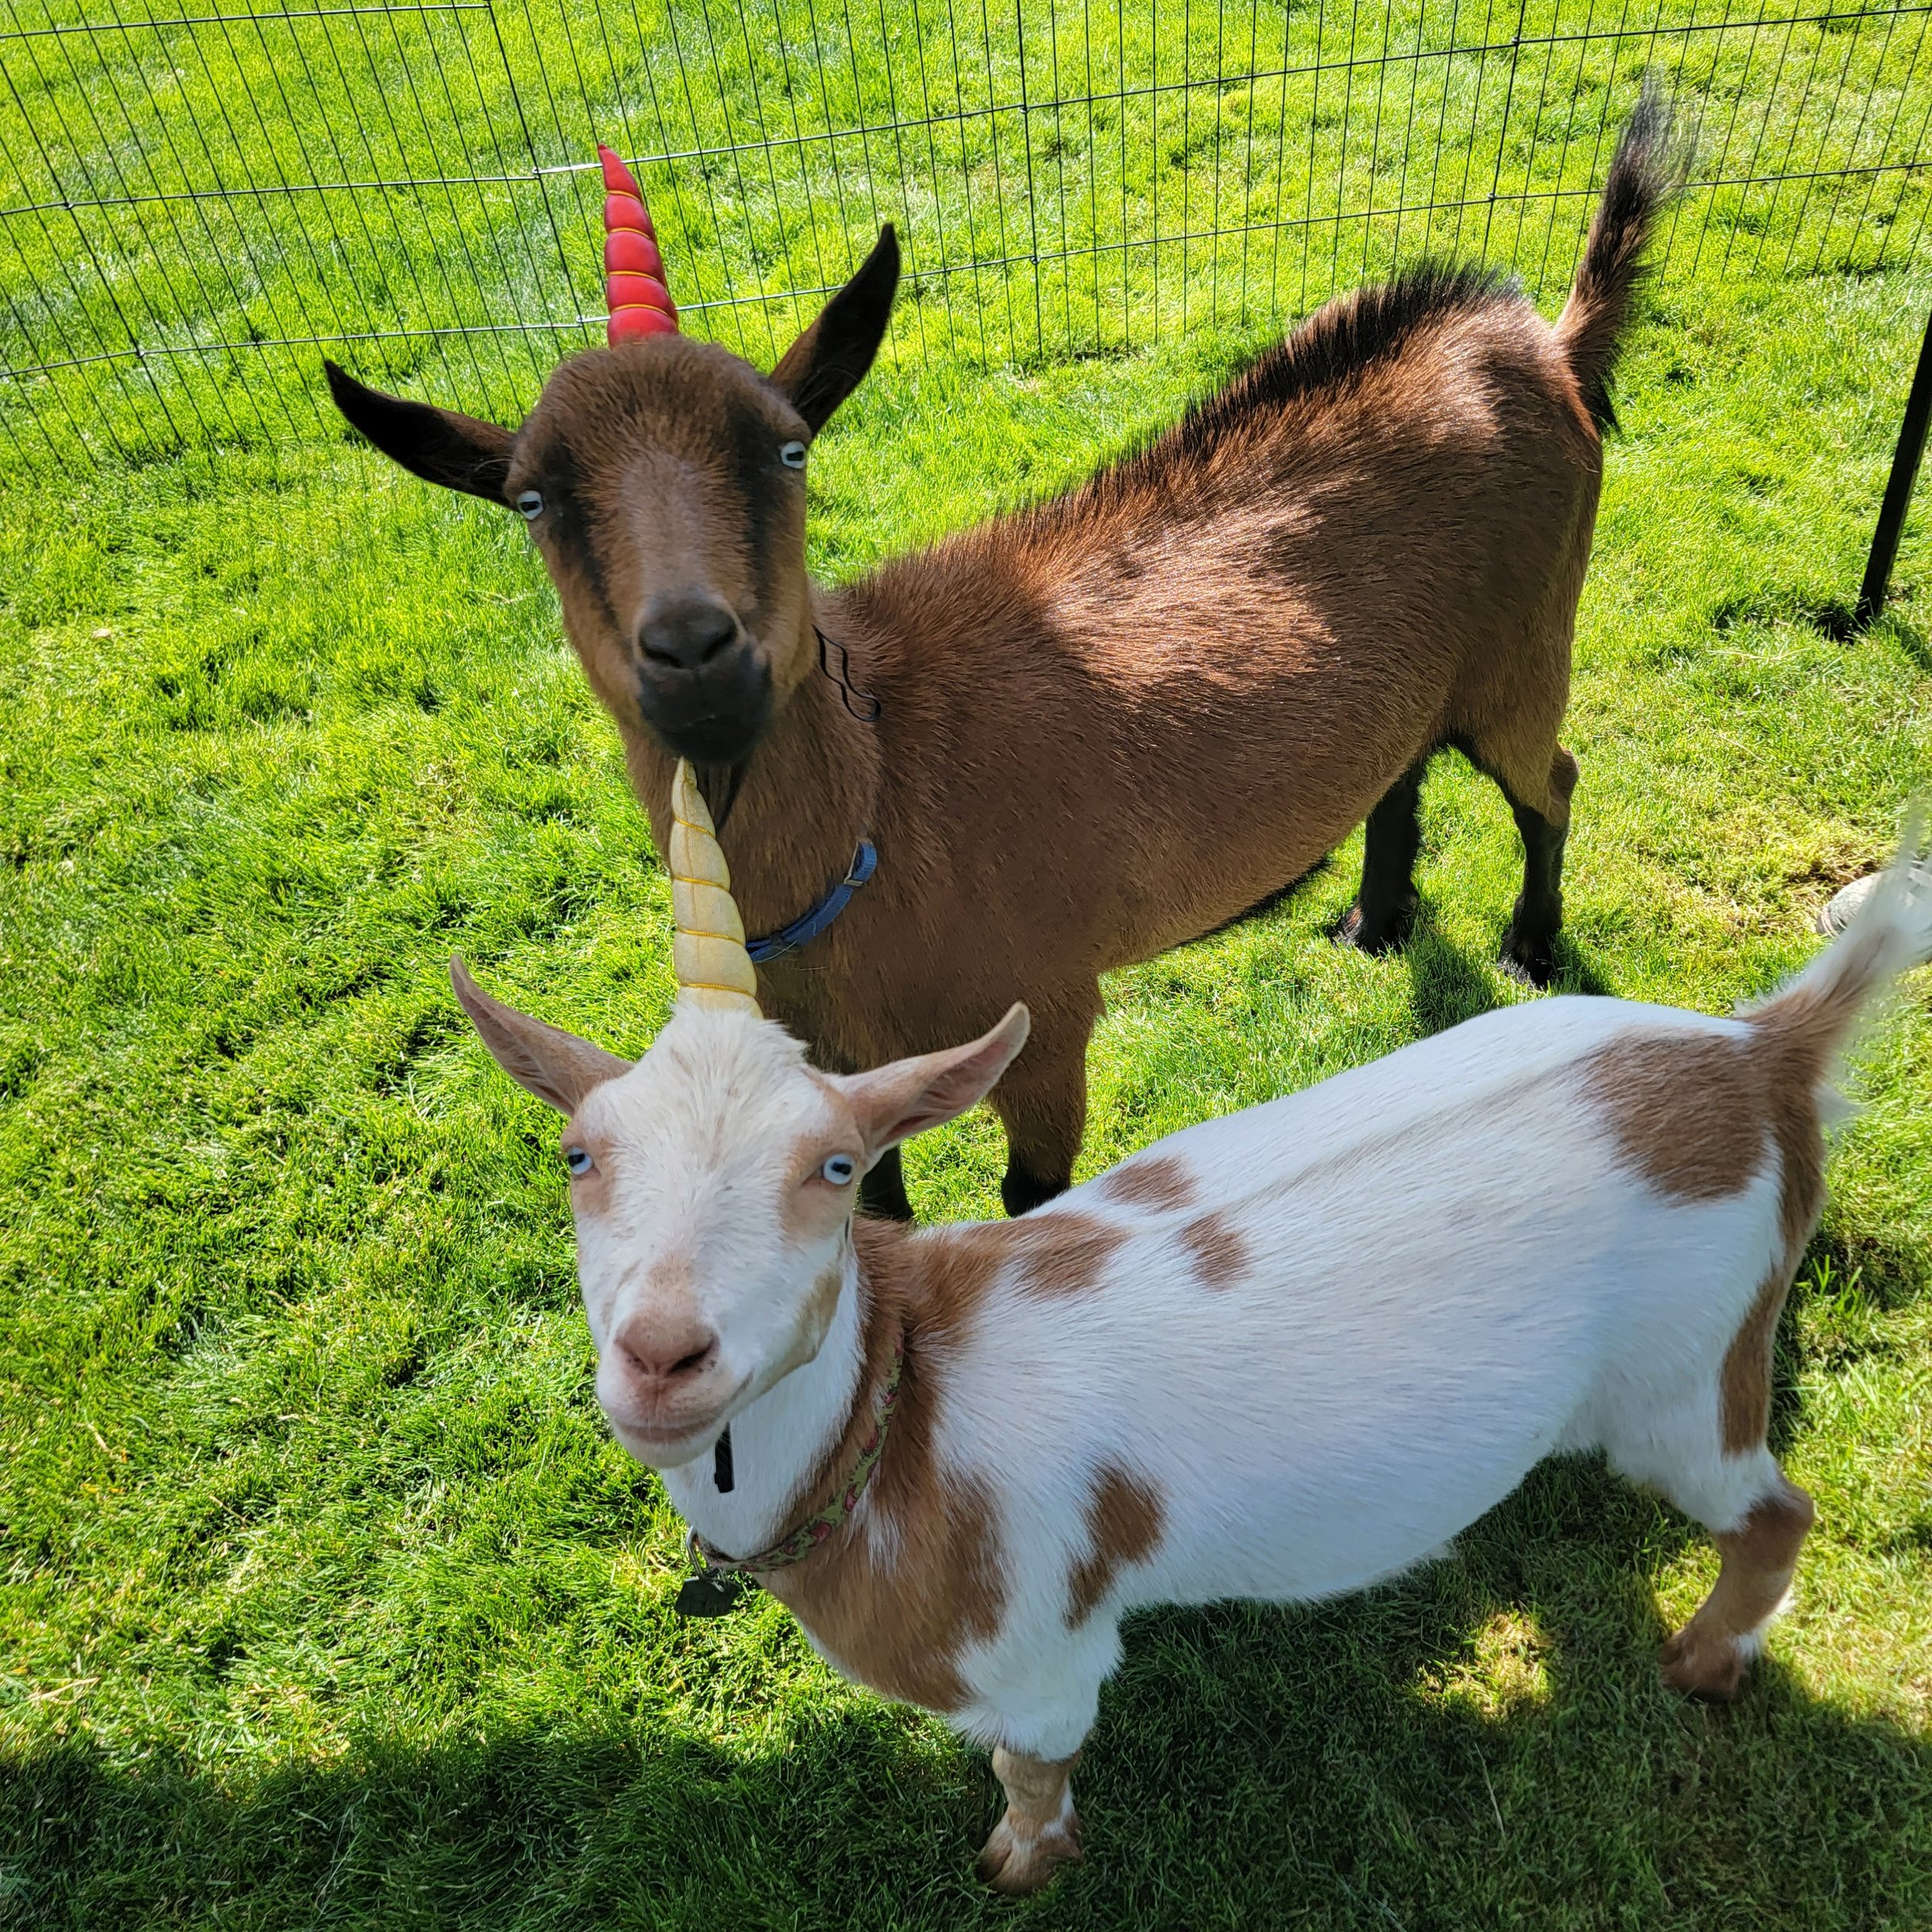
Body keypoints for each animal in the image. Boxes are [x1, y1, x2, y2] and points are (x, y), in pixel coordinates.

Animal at [333, 92, 1676, 1222]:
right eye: (530, 498)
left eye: (787, 448)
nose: (697, 653)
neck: (877, 804)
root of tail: (1545, 344)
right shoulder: (831, 1068)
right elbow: (870, 1207)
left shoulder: (1050, 1018)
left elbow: (1032, 1200)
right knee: (1400, 768)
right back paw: (1373, 921)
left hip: (1526, 647)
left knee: (1548, 780)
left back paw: (1529, 944)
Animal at [451, 760, 1929, 1895]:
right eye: (579, 1157)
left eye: (833, 1169)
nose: (664, 1357)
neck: (902, 1410)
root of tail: (1759, 1055)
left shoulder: (1042, 1655)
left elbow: (1030, 1763)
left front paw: (1021, 1867)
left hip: (1692, 1368)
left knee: (1772, 1511)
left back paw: (1705, 1661)